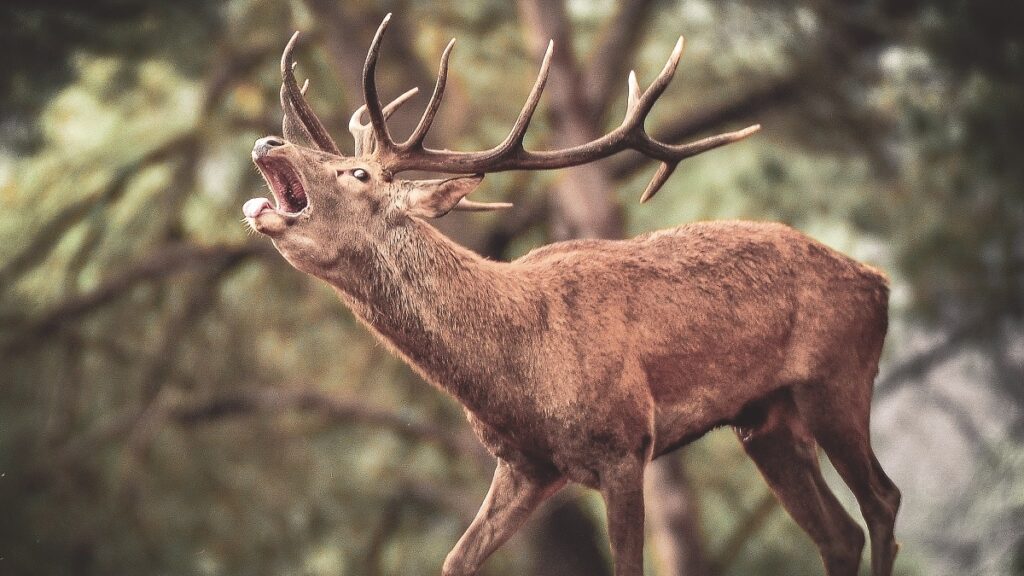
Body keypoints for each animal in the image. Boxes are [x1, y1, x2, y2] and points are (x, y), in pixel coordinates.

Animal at [241, 14, 901, 576]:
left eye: (357, 173)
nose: (270, 143)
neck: (517, 373)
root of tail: (881, 282)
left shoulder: (626, 443)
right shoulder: (524, 465)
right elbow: (454, 561)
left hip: (835, 378)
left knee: (883, 501)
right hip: (765, 420)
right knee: (840, 534)